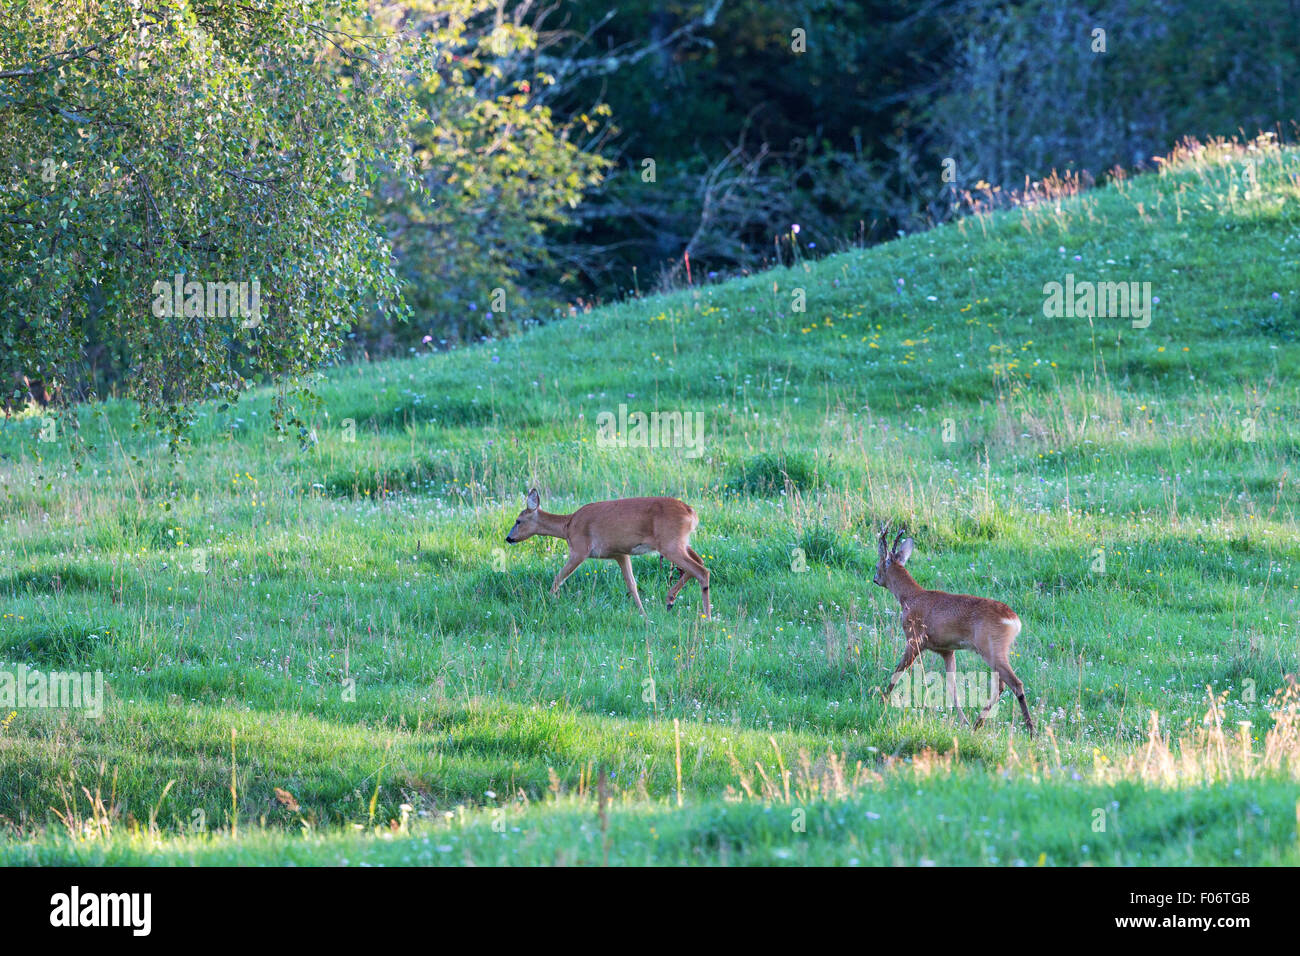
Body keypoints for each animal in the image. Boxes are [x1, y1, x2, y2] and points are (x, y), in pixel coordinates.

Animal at [504, 488, 711, 618]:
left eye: (518, 520)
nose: (508, 538)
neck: (568, 526)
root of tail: (692, 513)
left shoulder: (580, 549)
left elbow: (558, 578)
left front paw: (548, 601)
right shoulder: (620, 553)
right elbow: (632, 585)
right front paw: (643, 614)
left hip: (670, 544)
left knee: (701, 570)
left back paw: (706, 616)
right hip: (681, 542)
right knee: (698, 563)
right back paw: (670, 600)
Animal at [872, 524, 1035, 736]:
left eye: (877, 565)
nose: (875, 579)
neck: (909, 597)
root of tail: (1014, 620)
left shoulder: (914, 638)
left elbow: (898, 671)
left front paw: (882, 700)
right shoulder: (947, 650)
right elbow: (952, 687)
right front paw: (963, 720)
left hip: (990, 647)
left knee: (1014, 683)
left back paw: (1030, 730)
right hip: (997, 650)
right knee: (1001, 685)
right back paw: (977, 723)